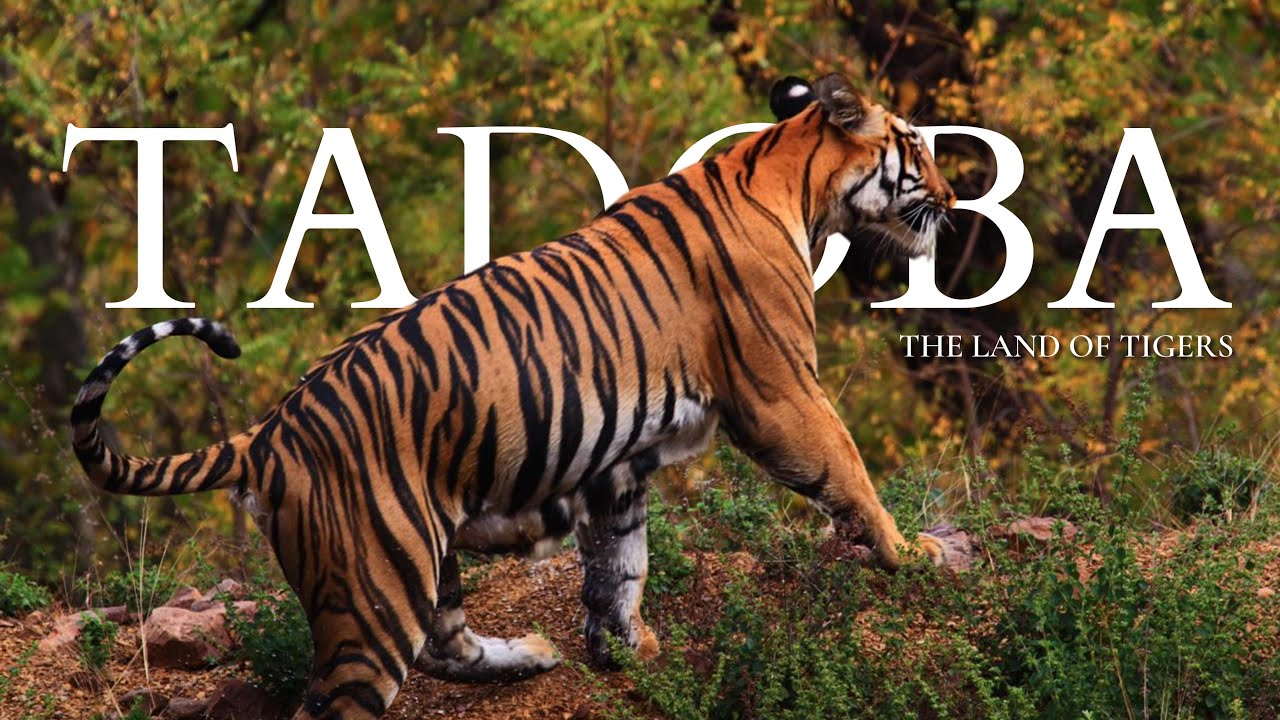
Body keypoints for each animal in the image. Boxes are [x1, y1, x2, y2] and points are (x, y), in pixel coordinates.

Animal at [70, 73, 956, 719]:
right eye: (915, 144)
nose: (952, 201)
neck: (792, 183)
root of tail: (265, 432)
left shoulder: (617, 462)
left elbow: (619, 561)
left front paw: (627, 652)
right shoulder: (782, 395)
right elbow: (850, 474)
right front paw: (916, 553)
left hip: (414, 557)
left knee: (446, 643)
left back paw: (529, 654)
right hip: (373, 592)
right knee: (342, 700)